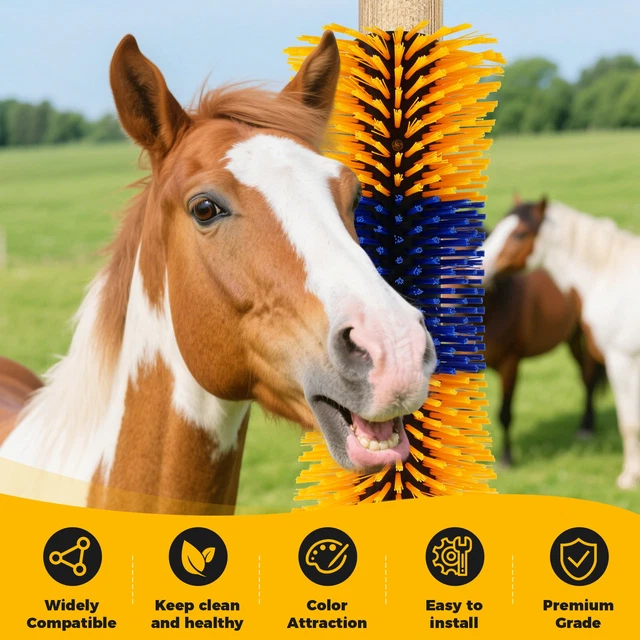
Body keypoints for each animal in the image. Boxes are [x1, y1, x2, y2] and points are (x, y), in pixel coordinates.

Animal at [483, 266, 604, 466]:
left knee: (589, 376)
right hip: (572, 339)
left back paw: (586, 428)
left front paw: (507, 458)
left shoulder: (510, 364)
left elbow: (505, 414)